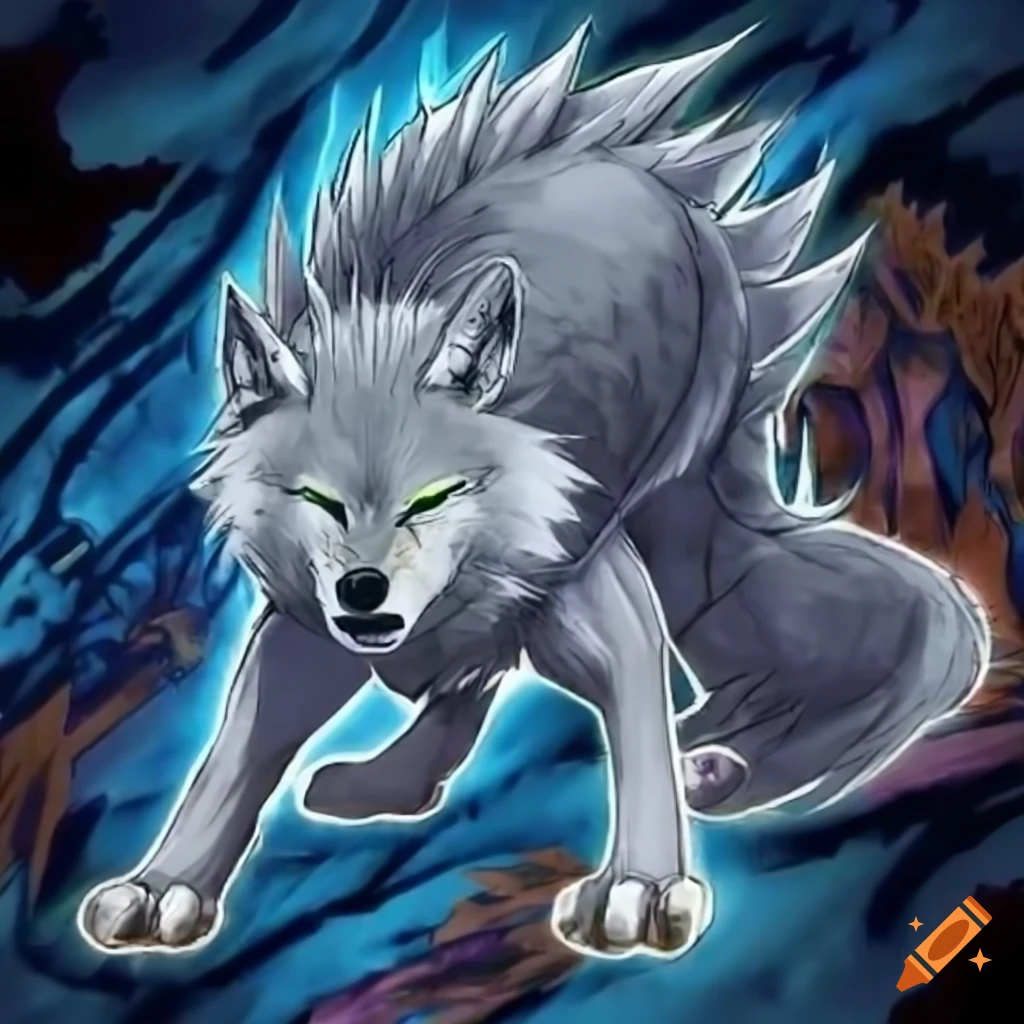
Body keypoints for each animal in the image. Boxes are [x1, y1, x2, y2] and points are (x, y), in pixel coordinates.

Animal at [79, 23, 989, 959]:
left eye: (434, 497)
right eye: (318, 501)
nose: (364, 589)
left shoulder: (591, 594)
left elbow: (637, 726)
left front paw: (640, 888)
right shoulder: (302, 628)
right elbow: (234, 753)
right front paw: (165, 885)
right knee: (469, 686)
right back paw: (389, 783)